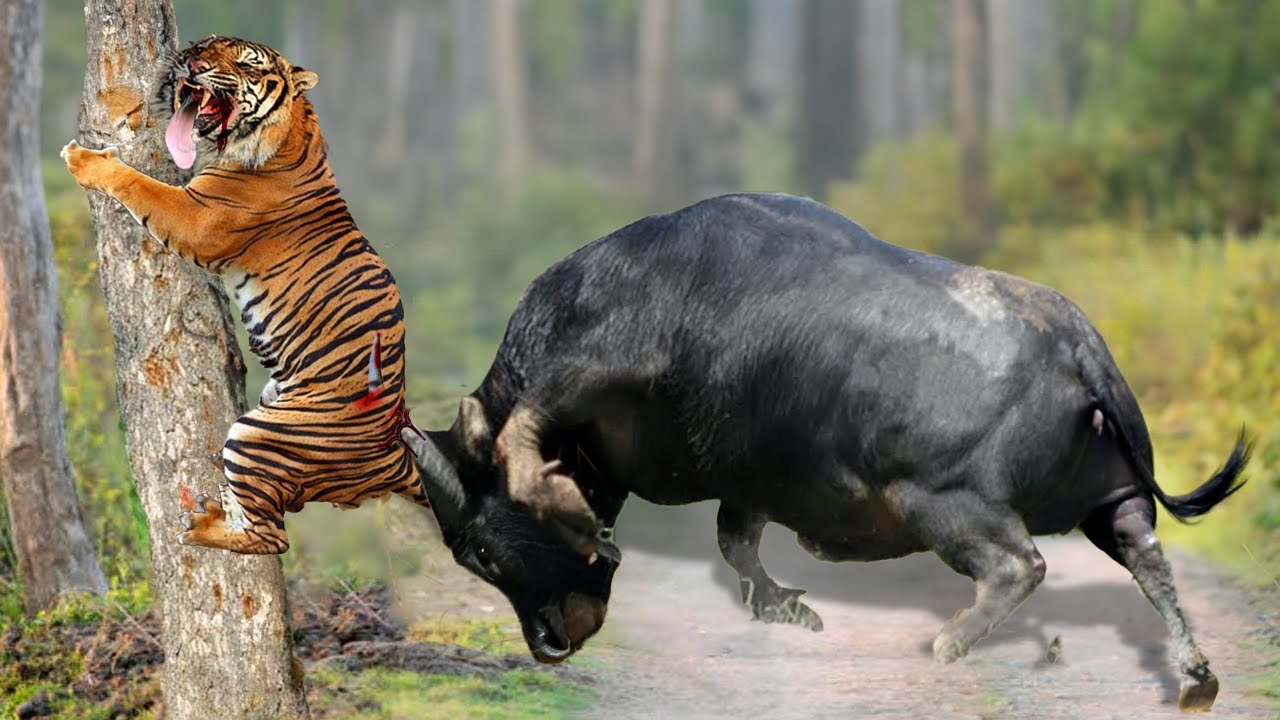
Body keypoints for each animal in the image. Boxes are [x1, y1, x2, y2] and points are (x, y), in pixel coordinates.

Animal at [61, 35, 430, 554]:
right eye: (208, 45)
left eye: (246, 63)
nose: (194, 61)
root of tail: (394, 452)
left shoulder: (195, 217)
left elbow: (139, 184)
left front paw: (83, 158)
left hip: (258, 436)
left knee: (272, 537)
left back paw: (199, 525)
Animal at [402, 193, 1247, 711]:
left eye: (479, 546)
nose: (550, 641)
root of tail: (1078, 345)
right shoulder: (744, 481)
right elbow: (737, 546)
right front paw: (790, 608)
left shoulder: (584, 379)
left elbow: (522, 432)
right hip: (1114, 503)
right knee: (1148, 557)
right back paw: (1196, 677)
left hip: (947, 506)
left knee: (1020, 566)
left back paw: (946, 643)